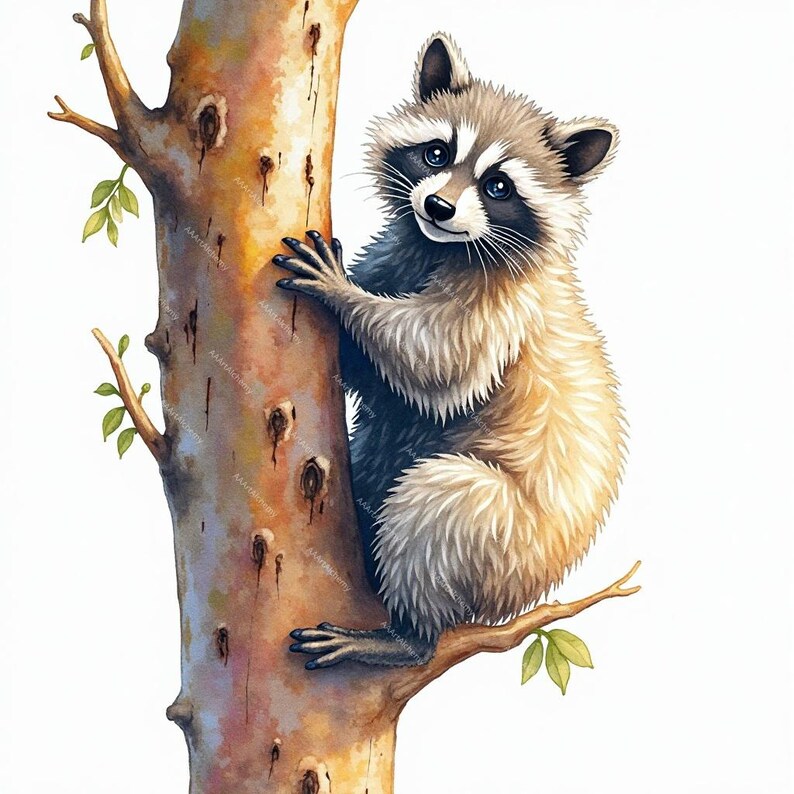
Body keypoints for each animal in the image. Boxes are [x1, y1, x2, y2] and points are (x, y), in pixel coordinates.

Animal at [273, 33, 626, 668]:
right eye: (436, 153)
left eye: (498, 186)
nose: (438, 208)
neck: (441, 246)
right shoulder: (399, 252)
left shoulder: (504, 308)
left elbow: (440, 363)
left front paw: (342, 295)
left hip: (500, 537)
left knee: (437, 506)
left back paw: (405, 638)